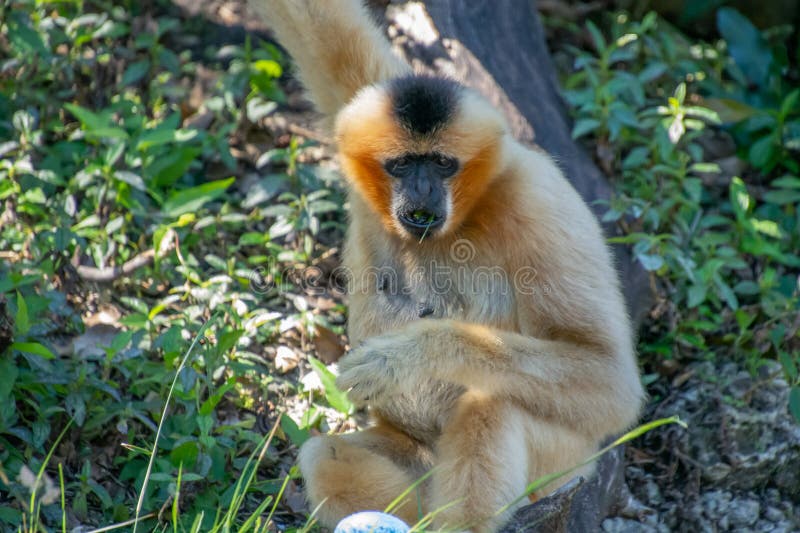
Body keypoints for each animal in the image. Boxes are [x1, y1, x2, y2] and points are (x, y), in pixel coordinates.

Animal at [250, 1, 645, 531]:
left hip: (566, 465)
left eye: (441, 163)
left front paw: (413, 354)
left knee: (492, 405)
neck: (469, 211)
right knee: (326, 458)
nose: (421, 190)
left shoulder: (539, 199)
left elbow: (610, 377)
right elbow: (316, 26)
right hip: (415, 456)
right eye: (401, 165)